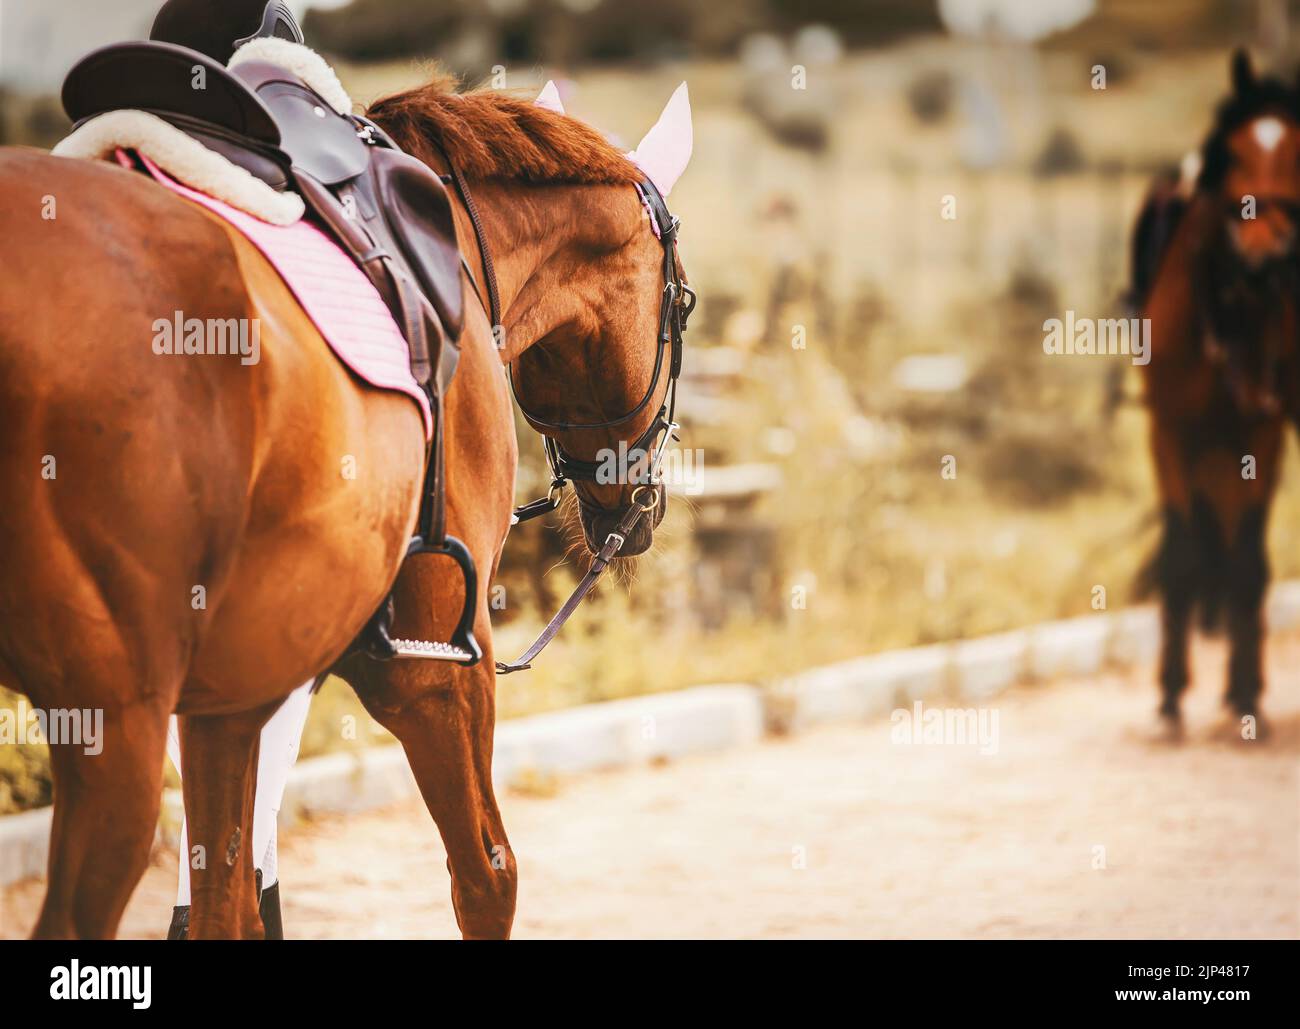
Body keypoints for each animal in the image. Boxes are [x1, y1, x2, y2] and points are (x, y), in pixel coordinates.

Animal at [0, 75, 692, 938]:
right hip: (116, 726)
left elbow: (232, 894)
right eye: (682, 305)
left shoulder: (237, 688)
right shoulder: (438, 669)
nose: (639, 507)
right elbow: (487, 874)